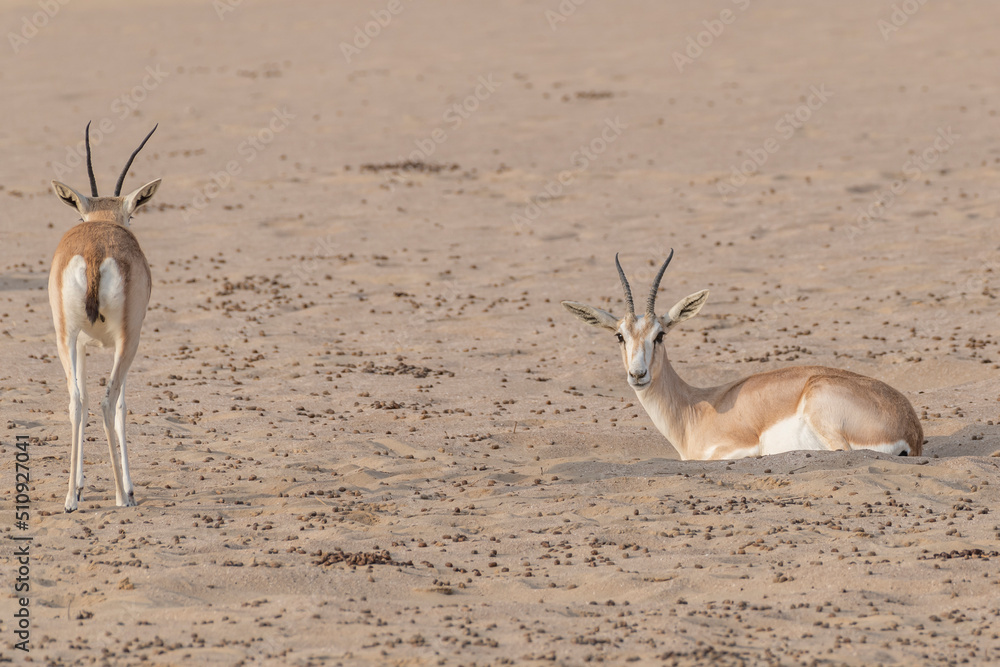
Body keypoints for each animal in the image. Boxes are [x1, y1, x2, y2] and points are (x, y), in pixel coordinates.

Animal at [48, 123, 160, 511]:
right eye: (132, 215)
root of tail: (95, 251)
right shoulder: (130, 341)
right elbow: (123, 405)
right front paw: (128, 487)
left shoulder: (81, 344)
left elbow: (80, 401)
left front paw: (80, 486)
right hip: (128, 342)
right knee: (108, 401)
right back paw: (120, 497)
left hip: (64, 338)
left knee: (76, 402)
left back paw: (70, 499)